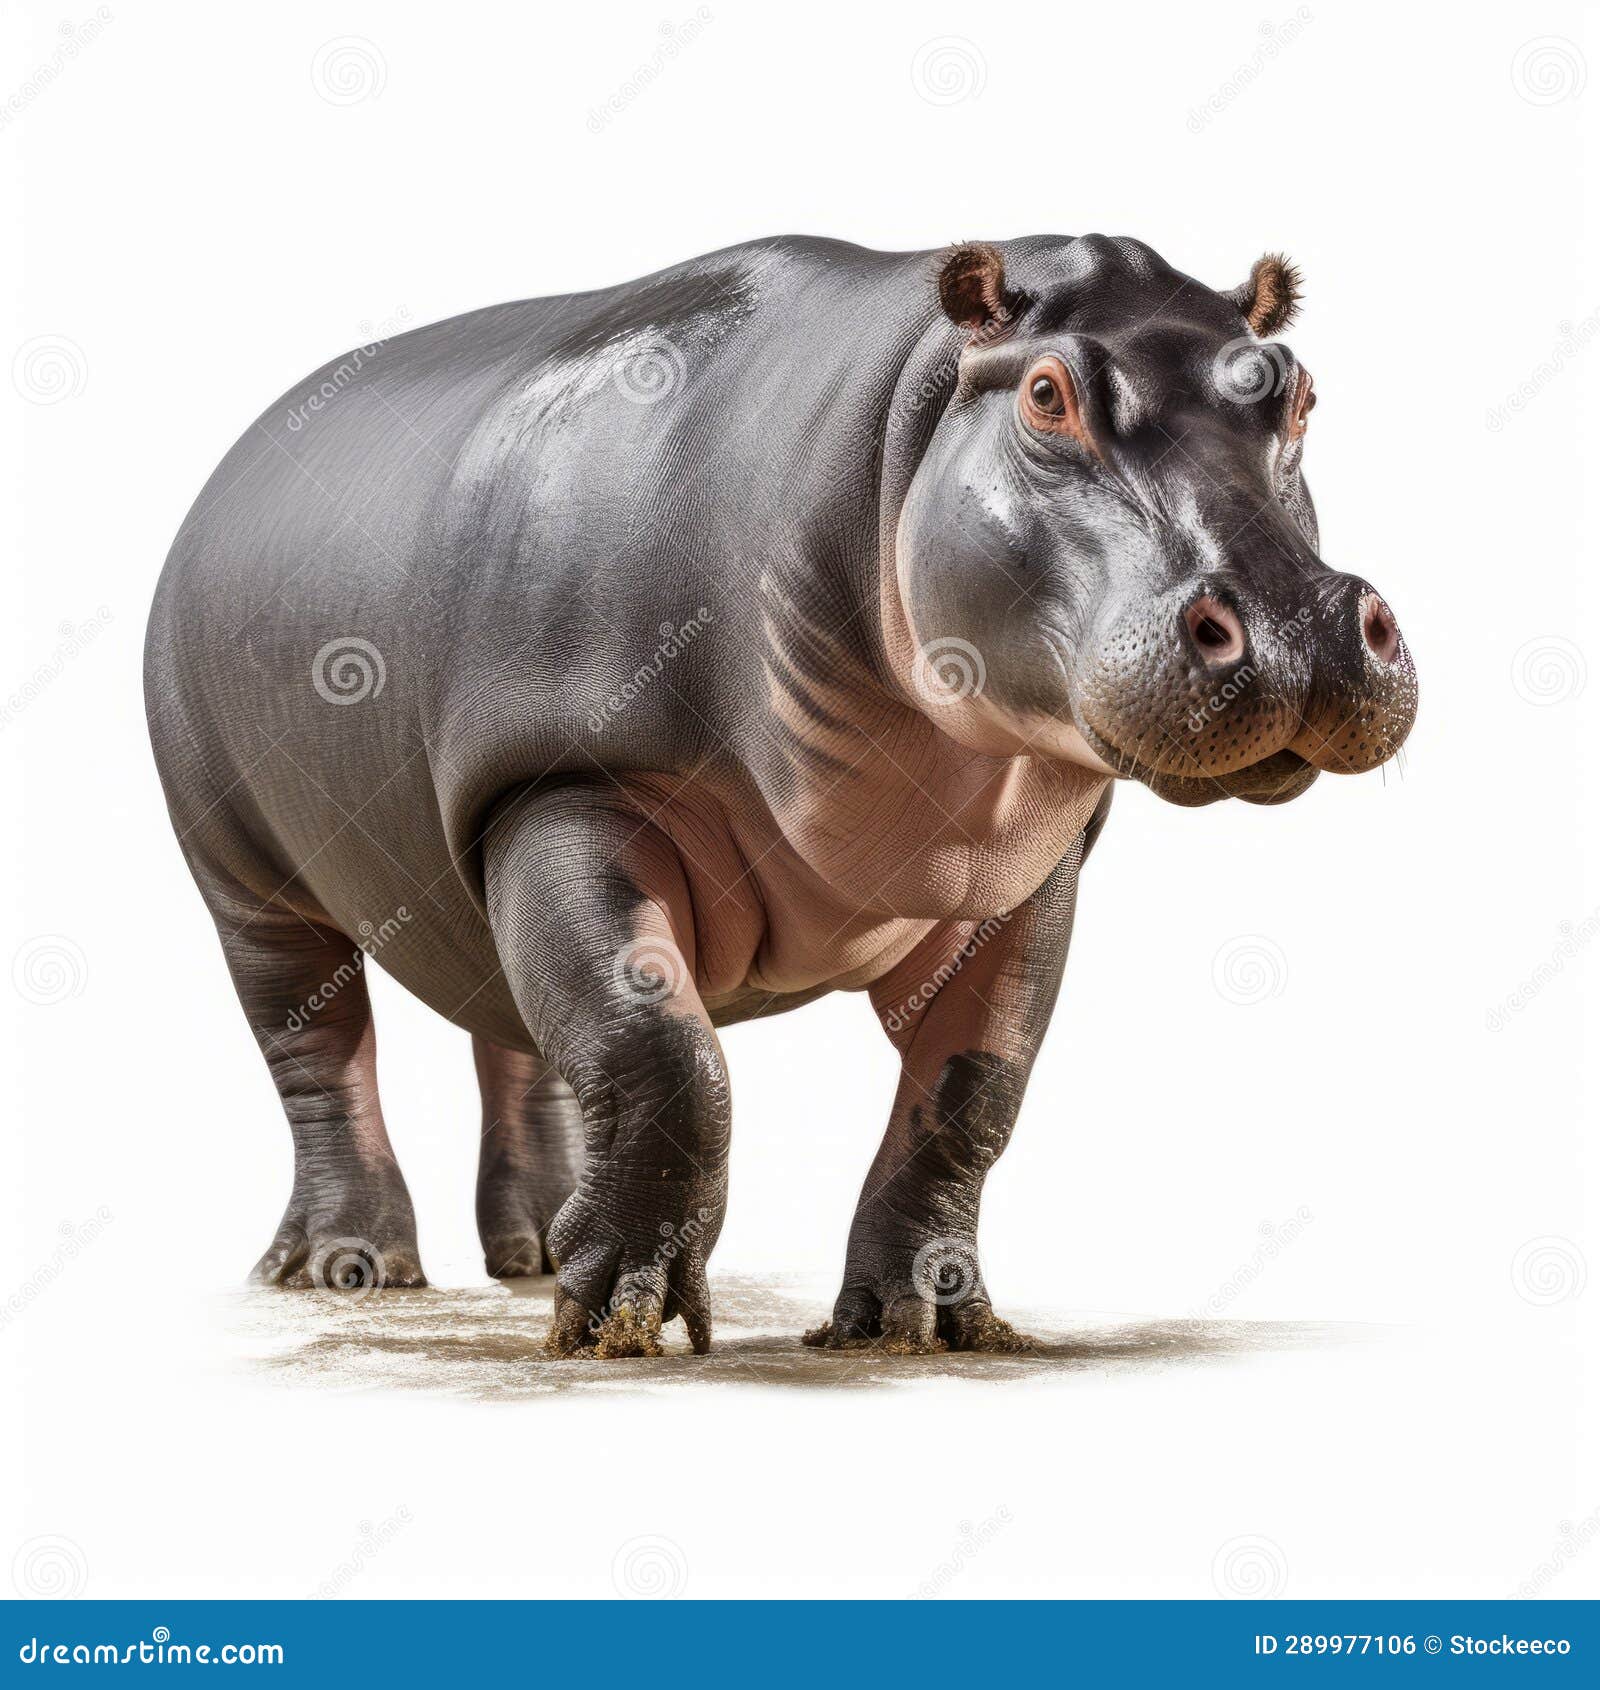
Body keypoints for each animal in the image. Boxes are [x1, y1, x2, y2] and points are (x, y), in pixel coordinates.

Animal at [144, 234, 1417, 1358]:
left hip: (461, 850)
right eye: (1047, 396)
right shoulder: (562, 786)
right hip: (244, 871)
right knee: (315, 1042)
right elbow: (662, 1047)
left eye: (1298, 394)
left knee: (513, 1027)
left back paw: (537, 1254)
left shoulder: (1029, 865)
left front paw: (925, 1326)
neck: (906, 416)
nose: (1298, 628)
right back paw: (350, 1268)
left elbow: (970, 1094)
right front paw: (619, 1324)